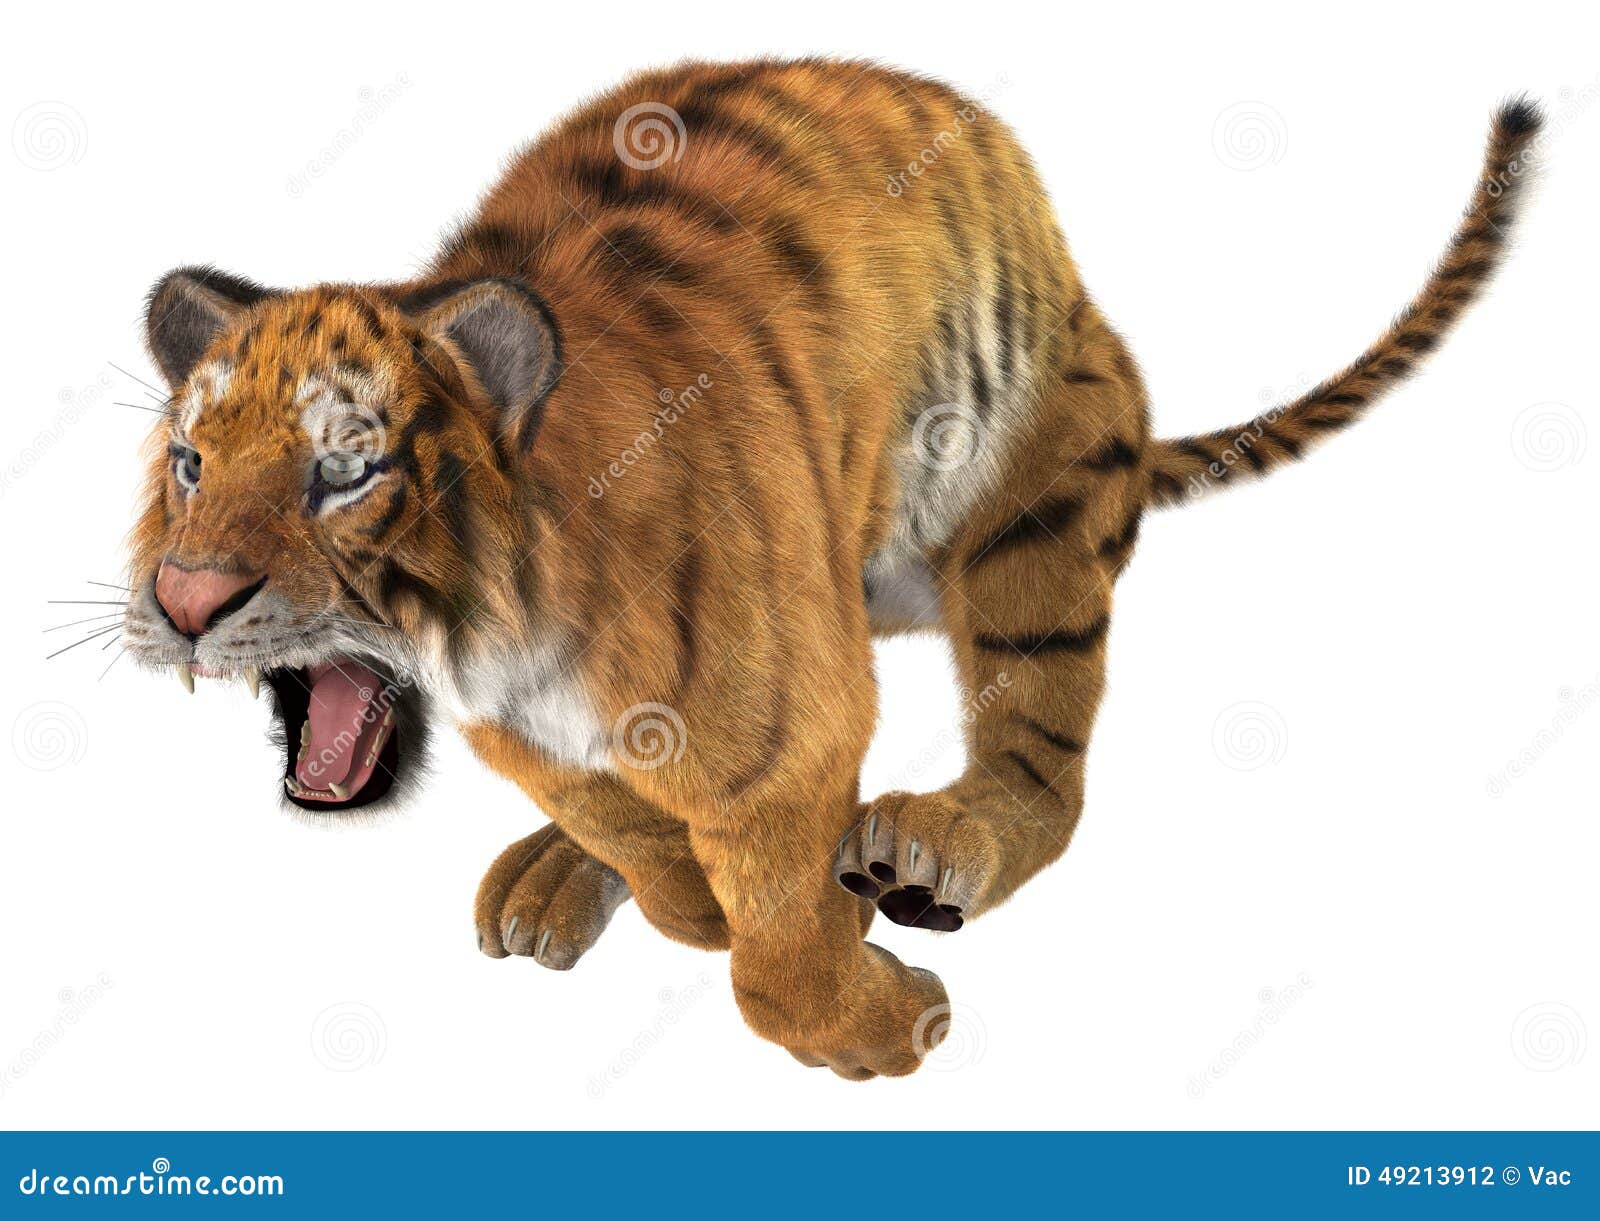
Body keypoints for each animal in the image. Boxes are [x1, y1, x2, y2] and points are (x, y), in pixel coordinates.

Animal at [121, 58, 1542, 1079]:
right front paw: (669, 889)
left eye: (344, 472)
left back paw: (930, 847)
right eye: (189, 461)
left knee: (1047, 772)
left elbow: (773, 950)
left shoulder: (784, 730)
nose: (182, 603)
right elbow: (648, 842)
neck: (505, 656)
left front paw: (870, 1013)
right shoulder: (544, 742)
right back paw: (552, 879)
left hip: (1032, 517)